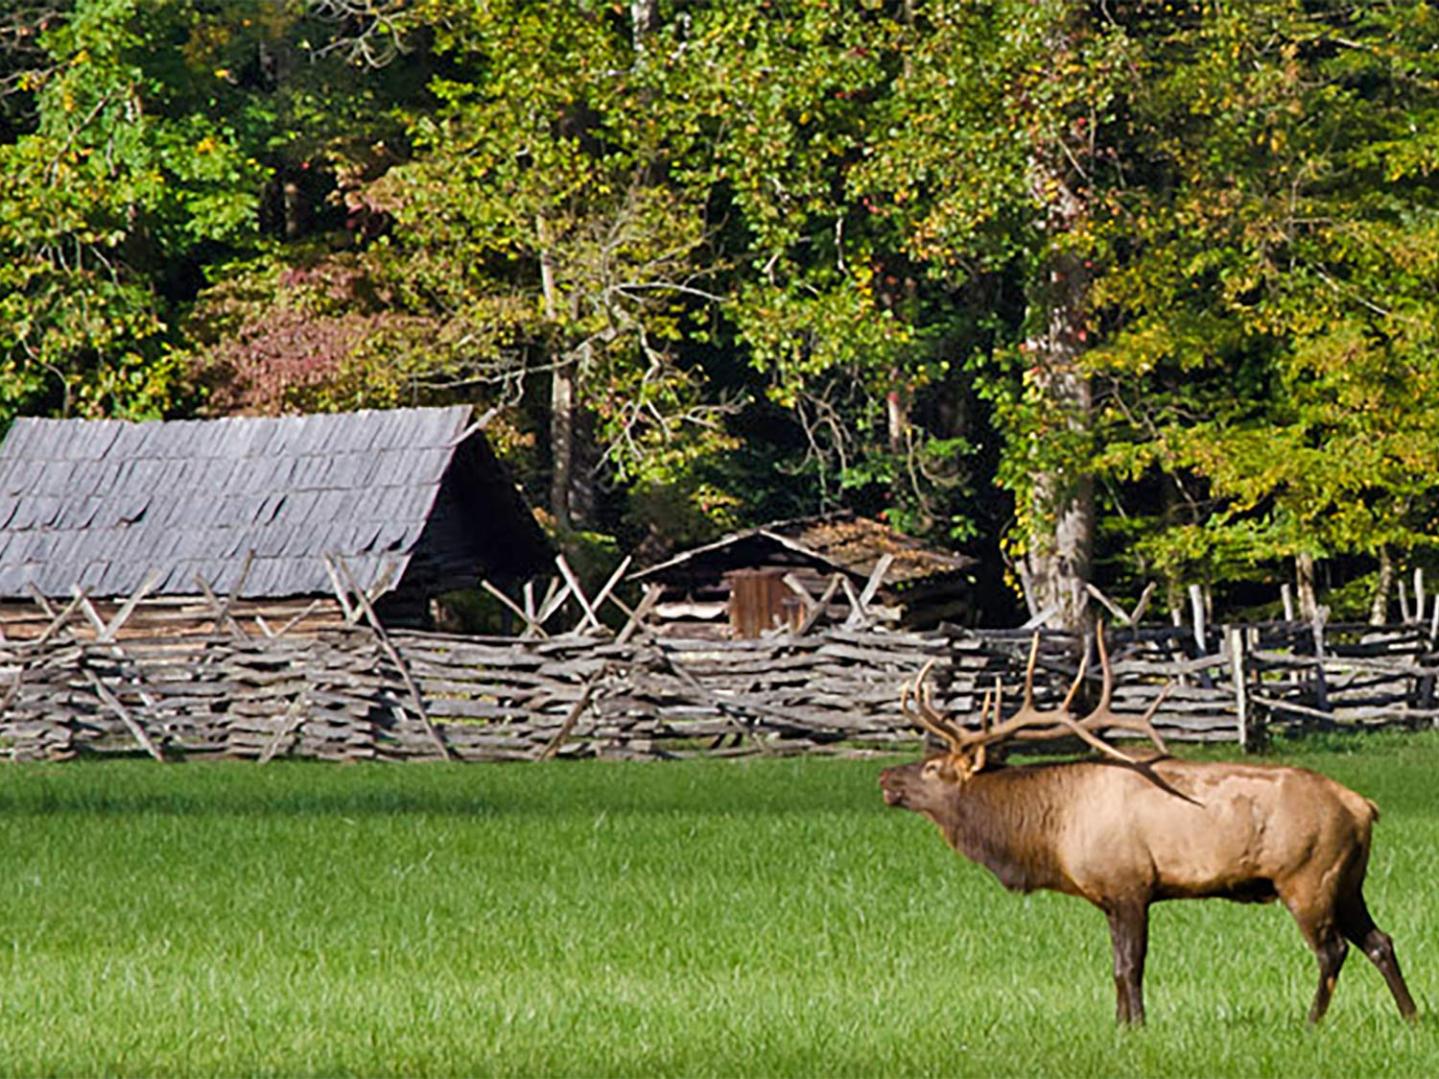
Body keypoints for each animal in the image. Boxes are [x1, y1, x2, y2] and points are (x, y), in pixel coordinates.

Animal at [879, 628, 1418, 1025]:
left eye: (932, 768)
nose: (885, 778)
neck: (1051, 834)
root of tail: (1364, 806)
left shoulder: (1130, 885)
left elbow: (1130, 966)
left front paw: (1137, 1026)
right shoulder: (1108, 896)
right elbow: (1117, 968)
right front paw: (1120, 1025)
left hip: (1307, 877)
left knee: (1333, 949)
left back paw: (1311, 1022)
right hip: (1348, 881)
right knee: (1380, 941)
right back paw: (1411, 1016)